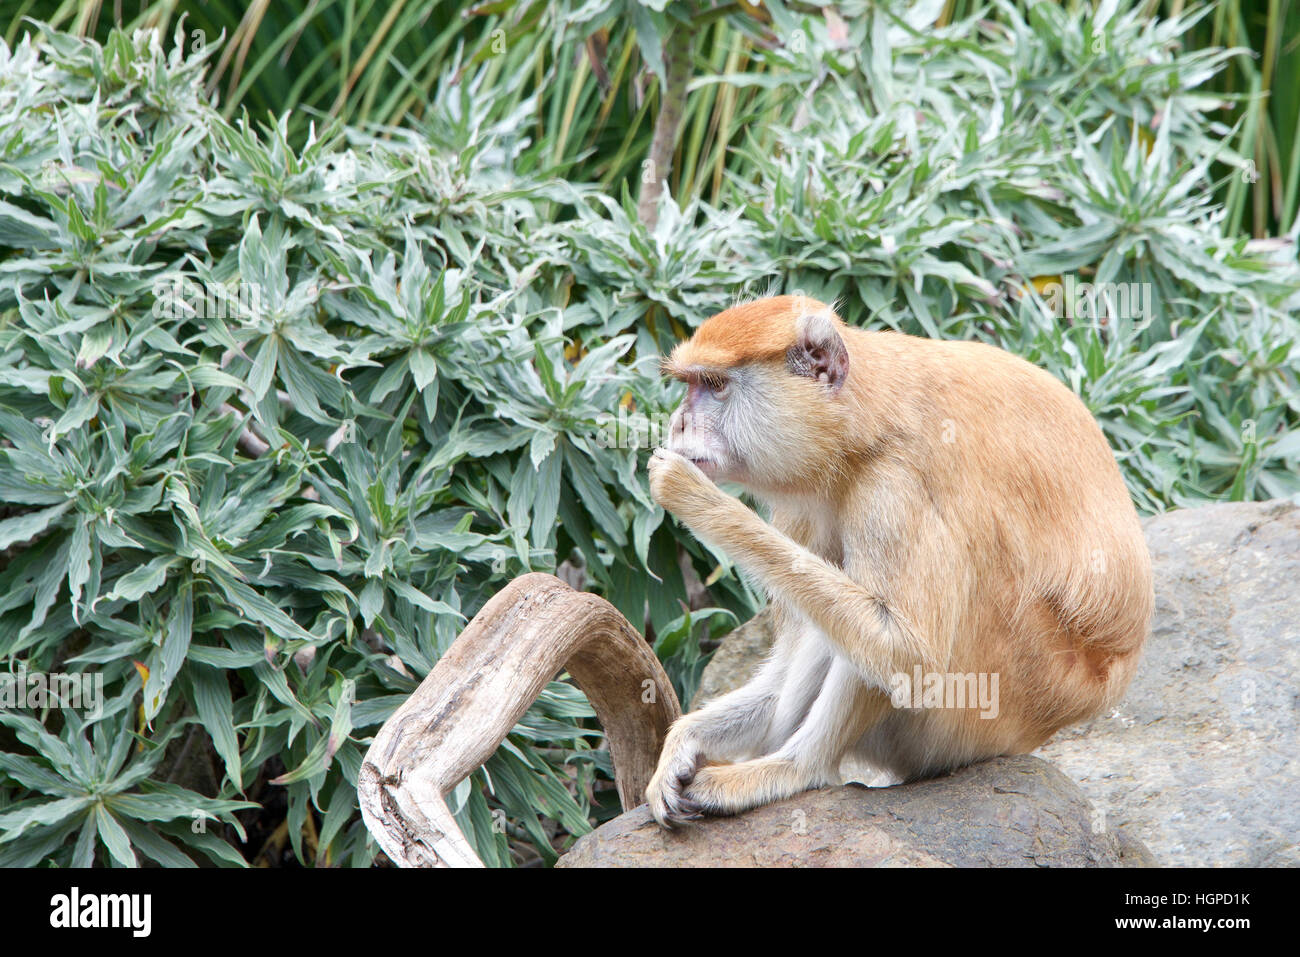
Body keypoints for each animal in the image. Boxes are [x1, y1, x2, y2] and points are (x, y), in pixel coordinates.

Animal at [644, 295, 1152, 827]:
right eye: (692, 384)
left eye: (715, 385)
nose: (678, 424)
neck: (856, 422)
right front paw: (684, 741)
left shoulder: (896, 487)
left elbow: (907, 653)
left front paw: (691, 495)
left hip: (992, 698)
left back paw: (798, 769)